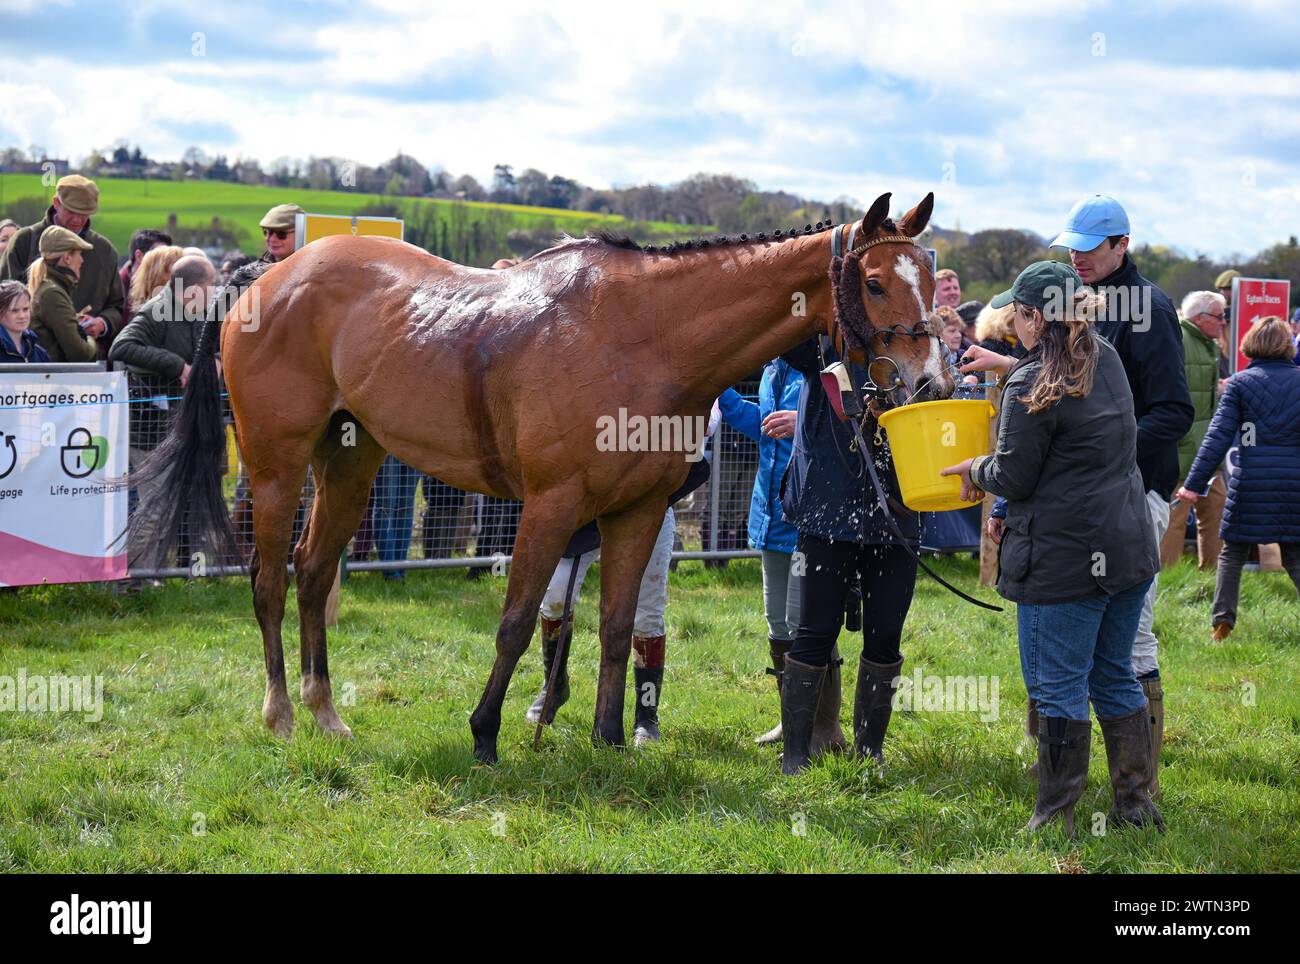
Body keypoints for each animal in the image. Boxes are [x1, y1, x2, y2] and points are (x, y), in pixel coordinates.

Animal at [133, 190, 953, 764]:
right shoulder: (551, 506)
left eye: (930, 274)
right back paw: (278, 713)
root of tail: (260, 283)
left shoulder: (637, 512)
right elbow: (519, 620)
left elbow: (618, 628)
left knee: (310, 573)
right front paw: (485, 731)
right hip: (276, 463)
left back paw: (325, 711)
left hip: (350, 461)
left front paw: (608, 738)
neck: (643, 335)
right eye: (874, 282)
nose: (929, 382)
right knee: (269, 580)